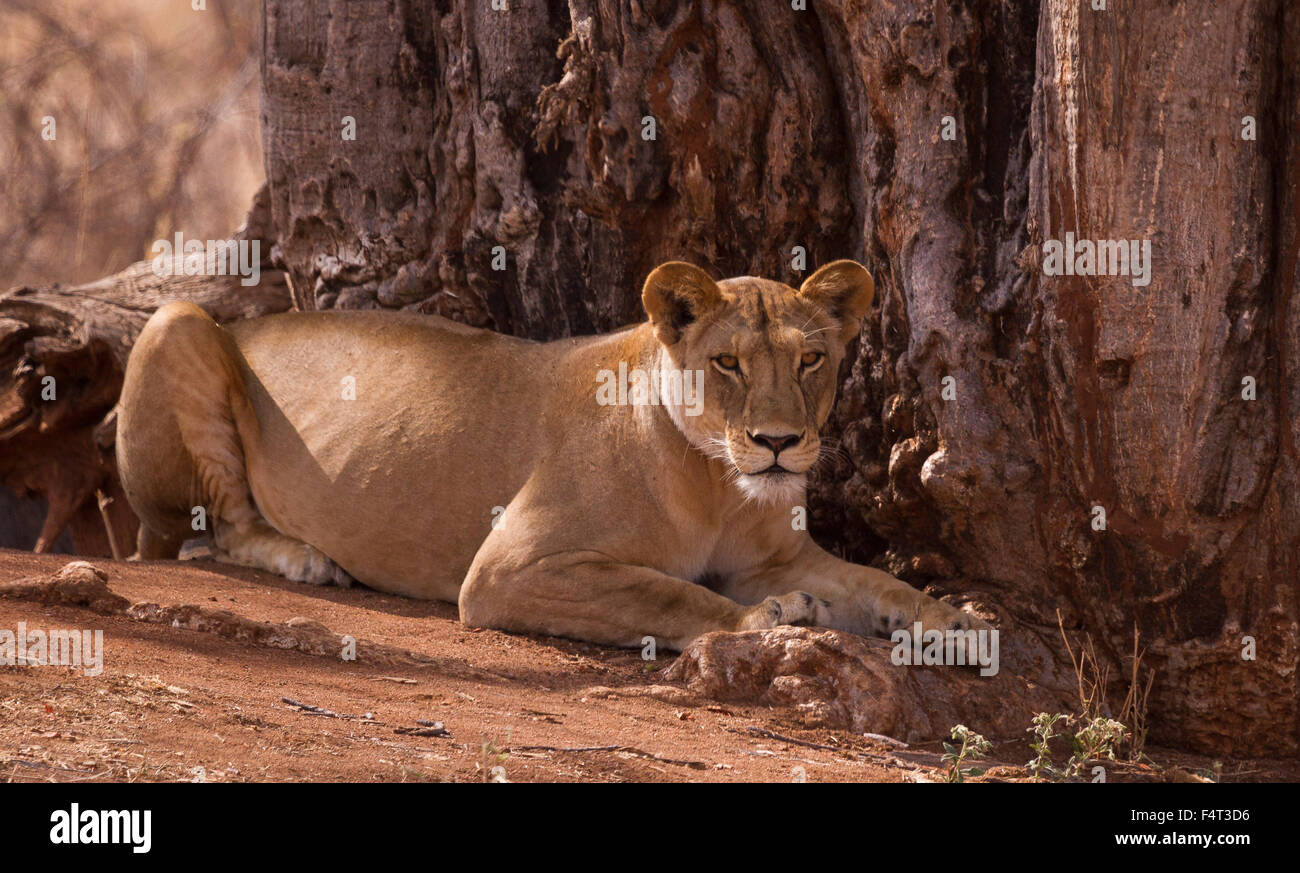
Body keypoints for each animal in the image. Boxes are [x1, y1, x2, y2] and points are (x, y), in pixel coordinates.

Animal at [115, 260, 988, 650]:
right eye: (728, 362)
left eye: (810, 359)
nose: (778, 443)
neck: (717, 482)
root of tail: (252, 320)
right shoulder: (512, 568)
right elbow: (668, 593)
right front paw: (760, 618)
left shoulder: (777, 556)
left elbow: (875, 580)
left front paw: (954, 619)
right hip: (177, 319)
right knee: (216, 527)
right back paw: (304, 558)